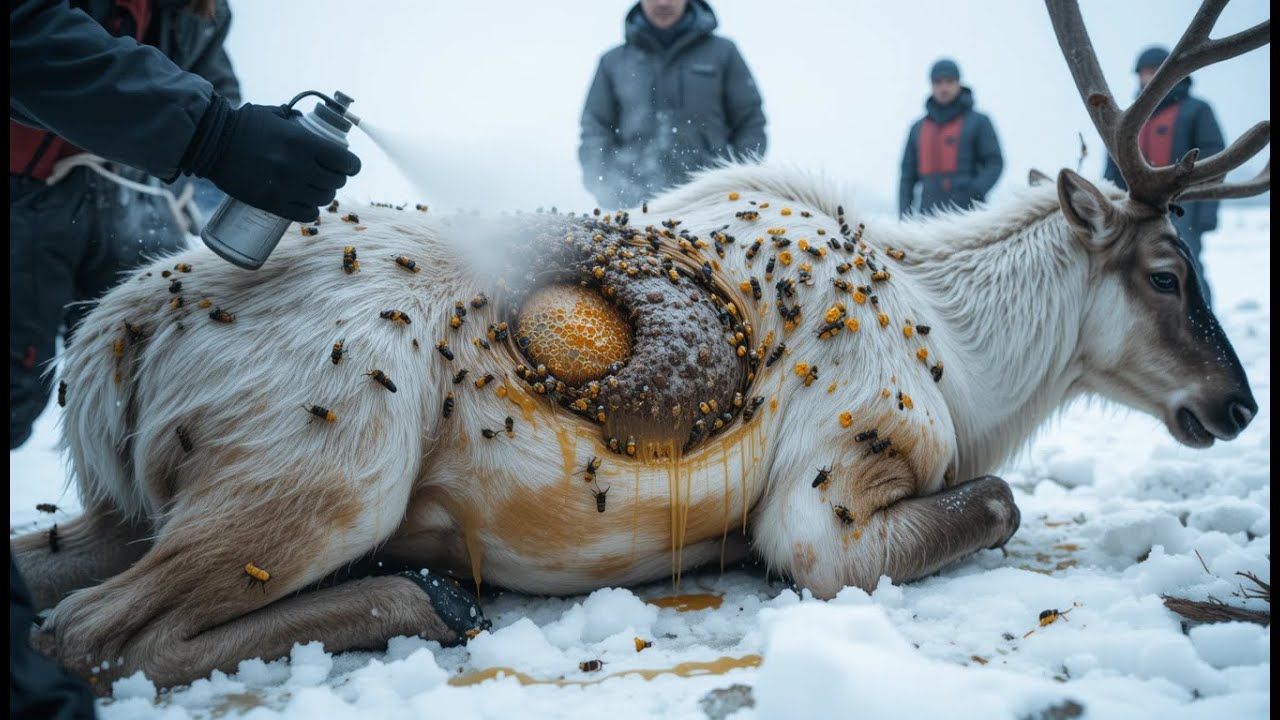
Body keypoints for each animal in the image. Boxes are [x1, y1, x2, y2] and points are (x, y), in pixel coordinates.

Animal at [11, 0, 1267, 694]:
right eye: (1166, 273)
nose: (1236, 404)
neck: (968, 355)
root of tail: (110, 344)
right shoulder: (829, 506)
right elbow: (996, 500)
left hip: (132, 503)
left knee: (46, 582)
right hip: (326, 473)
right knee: (95, 633)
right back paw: (424, 594)